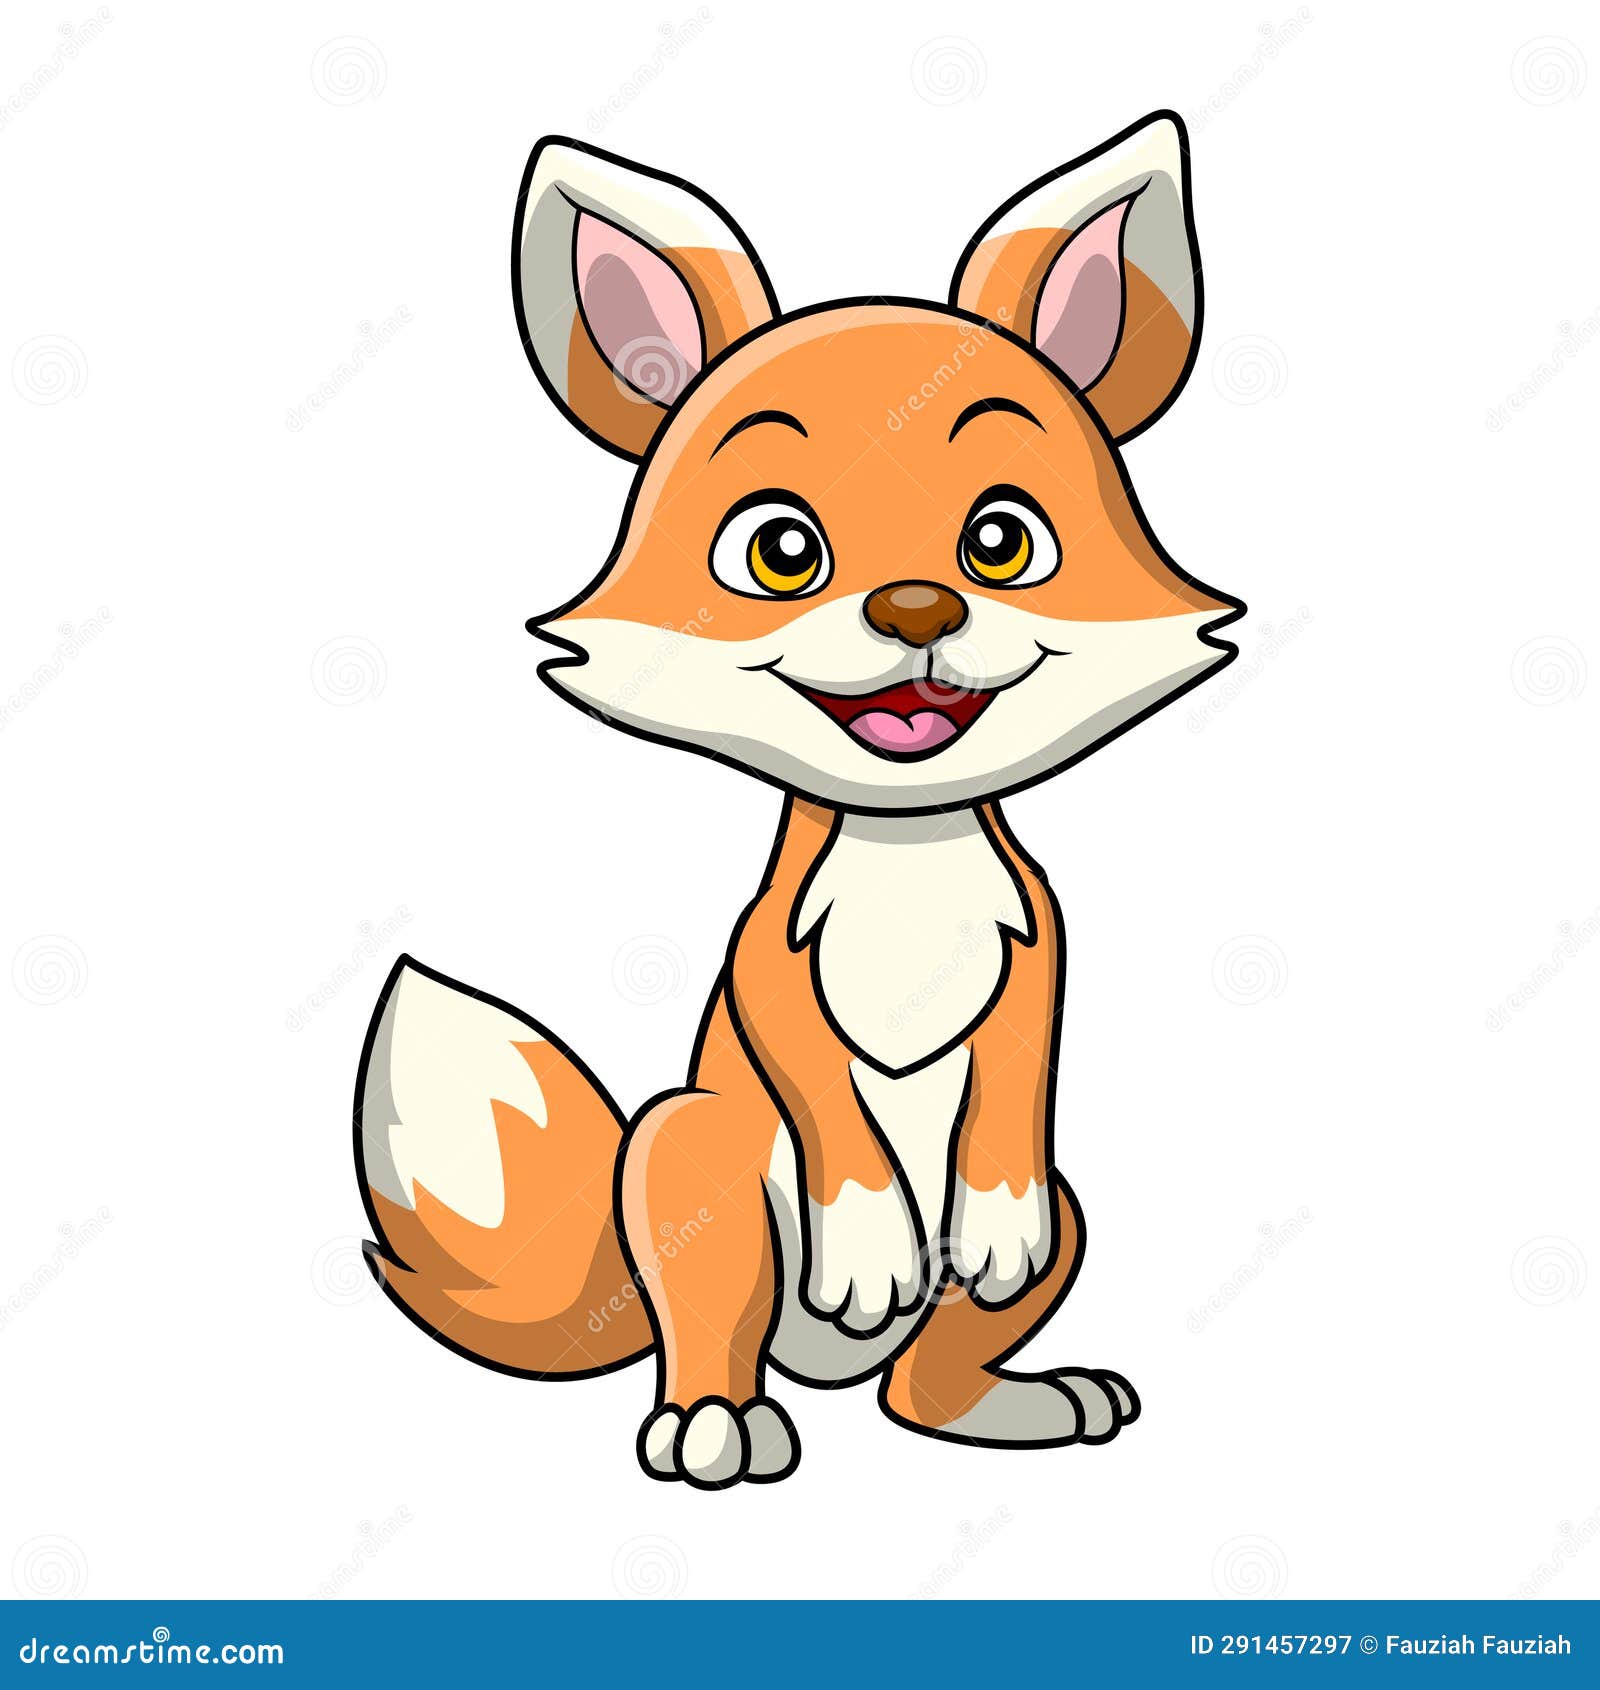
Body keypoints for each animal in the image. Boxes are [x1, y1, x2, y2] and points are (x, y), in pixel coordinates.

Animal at [354, 112, 1243, 1488]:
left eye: (1002, 540)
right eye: (779, 550)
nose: (918, 606)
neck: (904, 844)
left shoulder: (1036, 940)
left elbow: (1023, 1062)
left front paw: (986, 1217)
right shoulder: (771, 954)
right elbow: (814, 1071)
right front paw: (868, 1236)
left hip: (1062, 1213)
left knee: (924, 1385)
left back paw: (1009, 1403)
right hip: (694, 1151)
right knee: (711, 1324)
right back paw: (715, 1419)